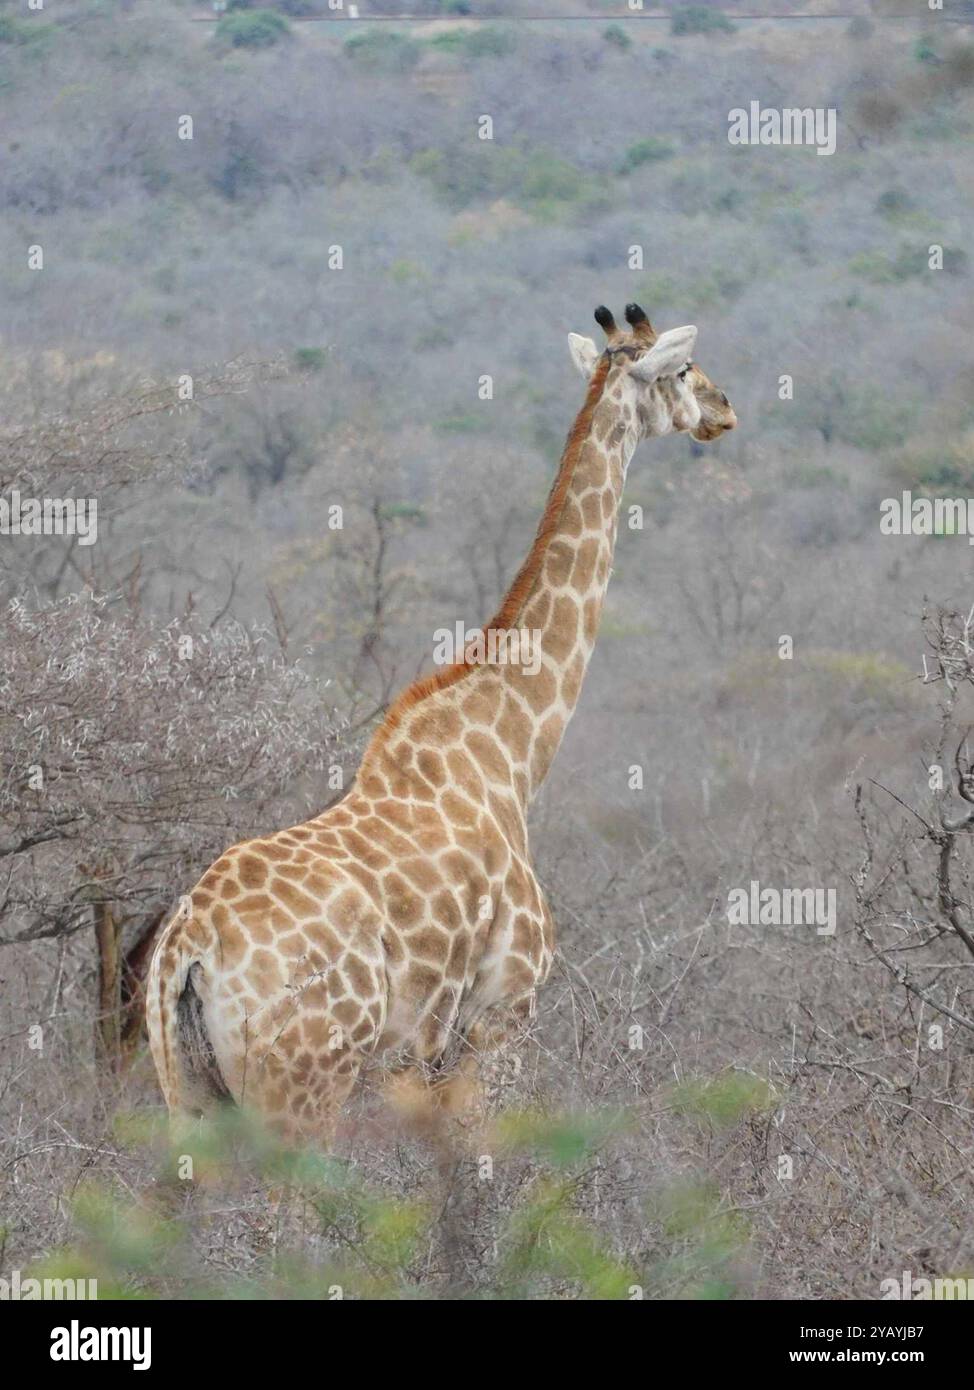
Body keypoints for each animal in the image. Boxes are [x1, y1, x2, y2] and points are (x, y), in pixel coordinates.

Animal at [146, 303, 737, 1144]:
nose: (725, 409)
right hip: (302, 1086)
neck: (510, 751)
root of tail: (188, 950)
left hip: (188, 1093)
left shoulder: (420, 1054)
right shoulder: (501, 1016)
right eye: (684, 370)